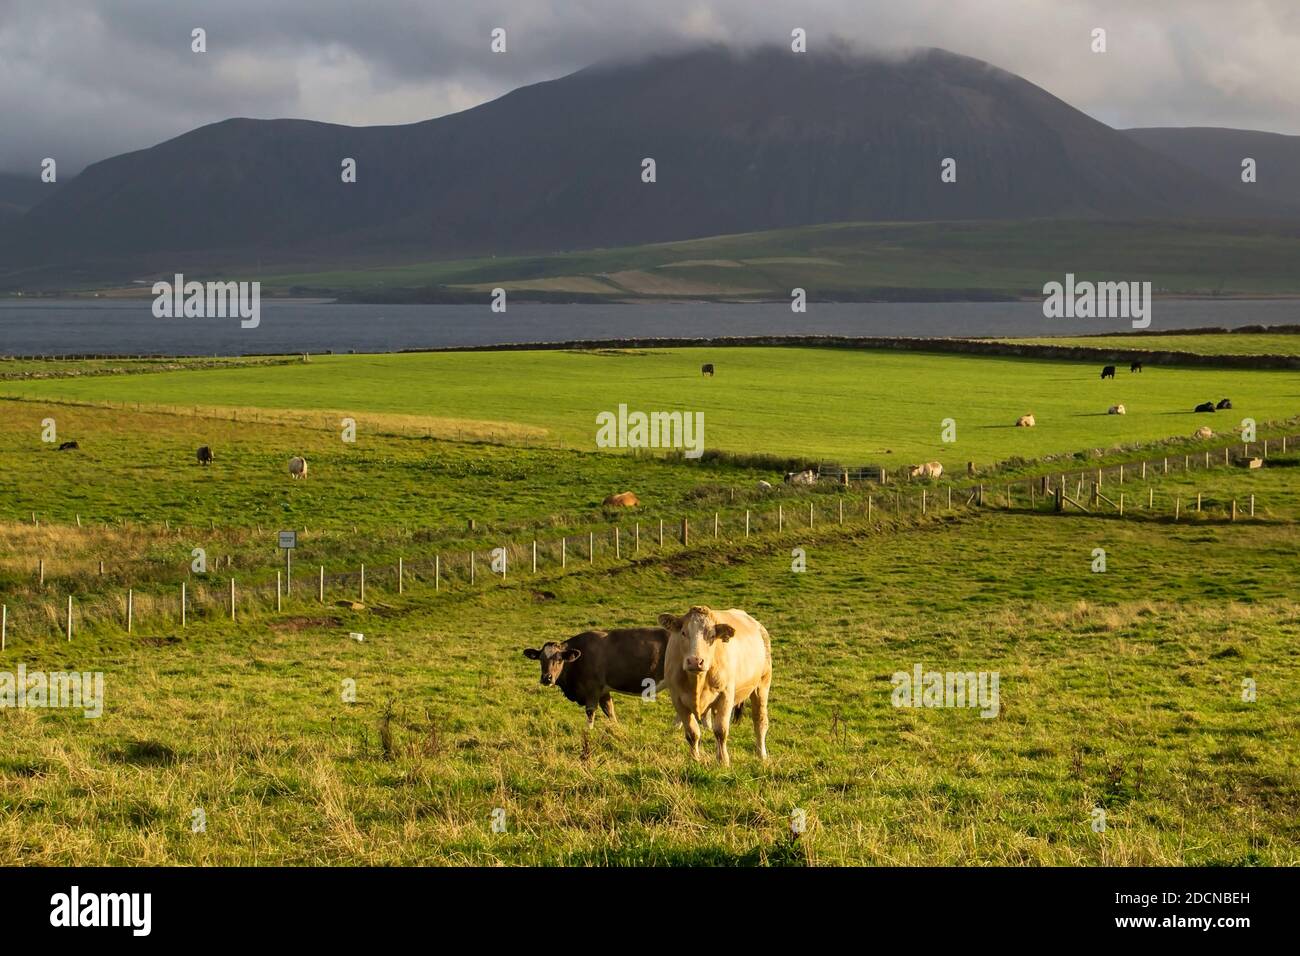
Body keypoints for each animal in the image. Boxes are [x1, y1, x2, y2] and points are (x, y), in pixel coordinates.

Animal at [522, 627, 670, 730]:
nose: (546, 678)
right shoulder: (604, 691)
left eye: (559, 660)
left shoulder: (592, 688)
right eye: (541, 659)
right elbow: (610, 712)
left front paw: (589, 734)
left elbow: (590, 713)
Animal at [658, 605, 772, 765]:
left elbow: (721, 731)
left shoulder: (725, 695)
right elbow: (692, 733)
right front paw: (695, 759)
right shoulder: (677, 699)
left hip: (762, 685)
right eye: (683, 633)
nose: (695, 661)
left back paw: (761, 755)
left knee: (760, 721)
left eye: (712, 636)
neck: (697, 681)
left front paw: (723, 761)